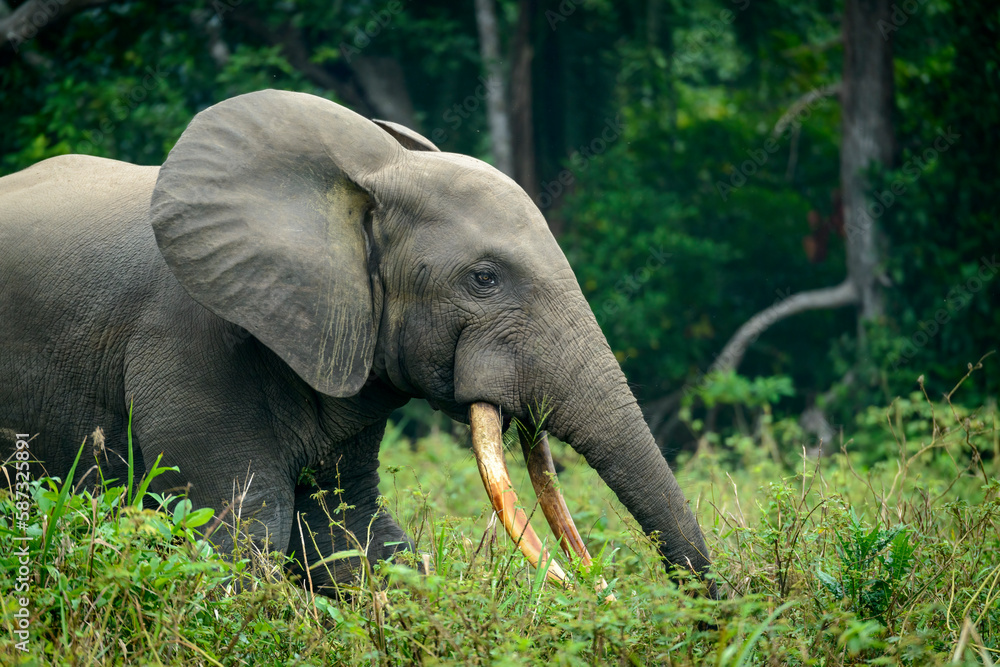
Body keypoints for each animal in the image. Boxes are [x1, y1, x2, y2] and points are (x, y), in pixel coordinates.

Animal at [0, 89, 714, 597]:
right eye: (483, 278)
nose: (711, 614)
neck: (362, 181)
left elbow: (348, 529)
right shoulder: (189, 343)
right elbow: (242, 535)